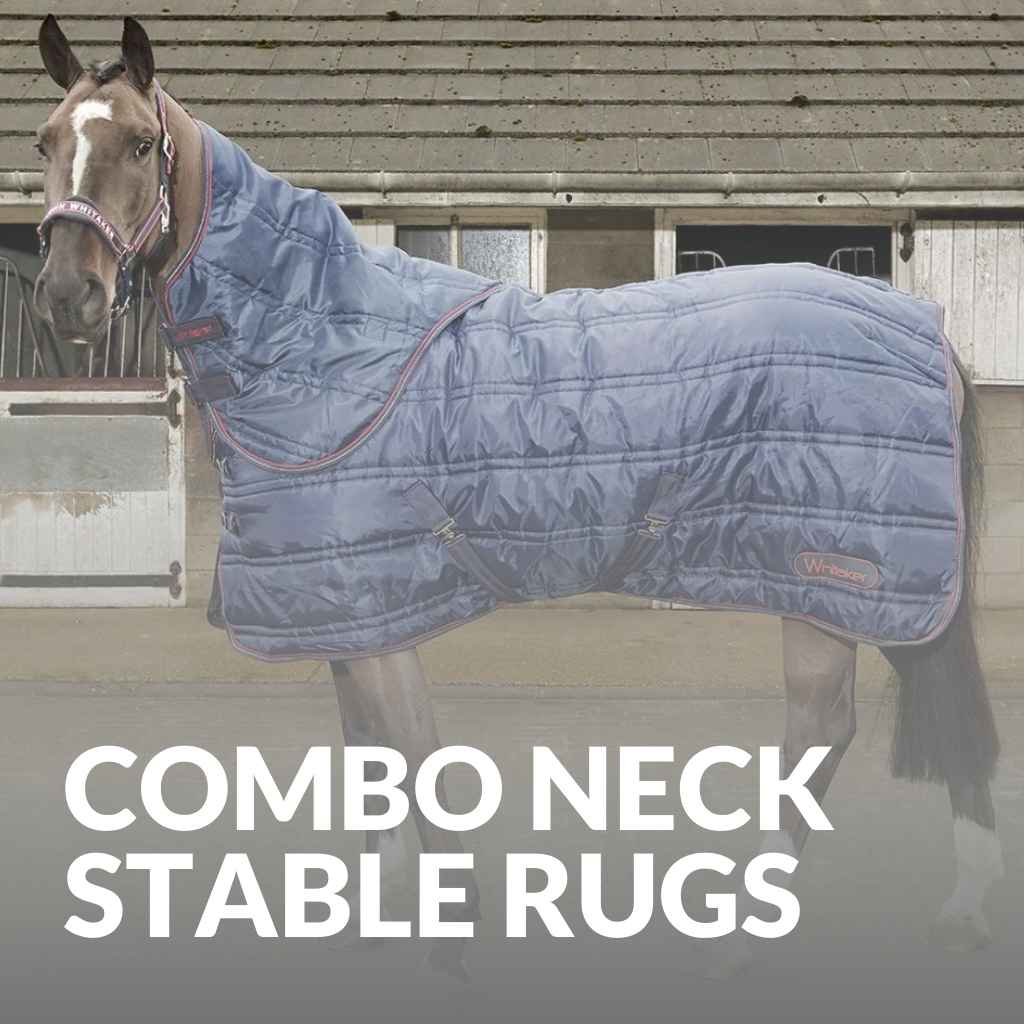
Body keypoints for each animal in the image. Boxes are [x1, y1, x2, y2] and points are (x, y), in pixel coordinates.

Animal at [31, 16, 1002, 980]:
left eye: (141, 142)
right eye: (45, 142)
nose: (69, 296)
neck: (318, 343)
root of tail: (919, 323)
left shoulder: (381, 617)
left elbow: (415, 760)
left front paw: (459, 942)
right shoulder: (347, 611)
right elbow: (374, 764)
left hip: (836, 584)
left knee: (825, 729)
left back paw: (755, 932)